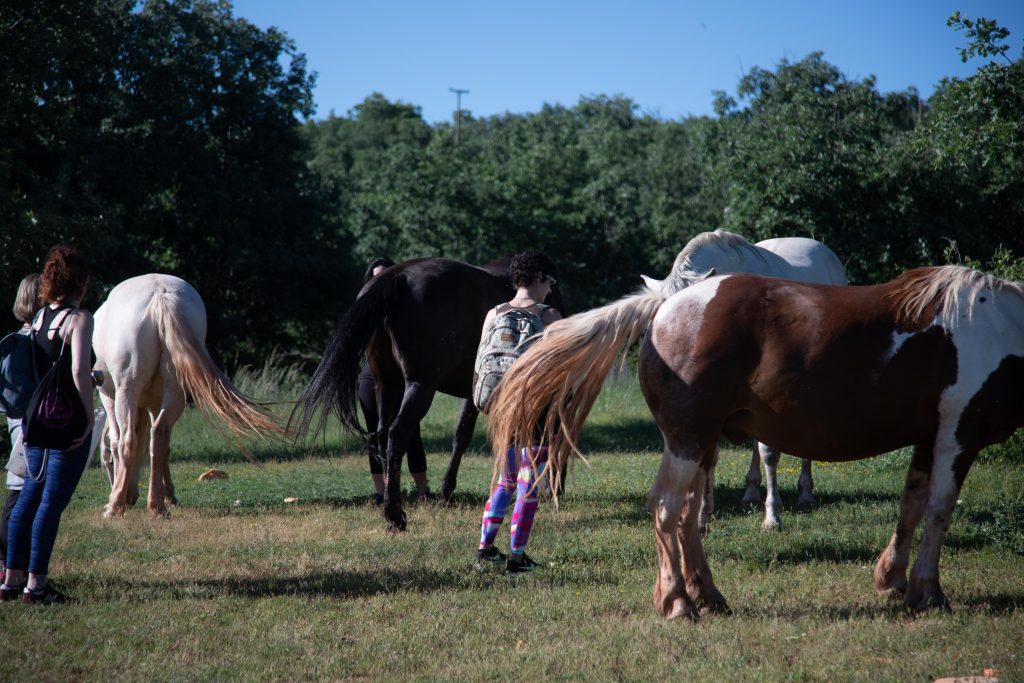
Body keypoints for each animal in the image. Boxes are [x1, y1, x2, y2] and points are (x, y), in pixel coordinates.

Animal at [93, 274, 282, 517]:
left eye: (106, 465)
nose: (127, 498)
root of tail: (160, 294)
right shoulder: (155, 405)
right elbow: (161, 448)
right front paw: (169, 496)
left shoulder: (109, 397)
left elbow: (116, 444)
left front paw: (115, 500)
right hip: (176, 392)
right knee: (159, 435)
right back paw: (157, 507)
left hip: (127, 390)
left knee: (128, 441)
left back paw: (116, 508)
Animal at [289, 257, 566, 530]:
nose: (557, 489)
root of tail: (396, 275)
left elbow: (461, 434)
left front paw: (446, 490)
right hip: (421, 386)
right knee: (397, 433)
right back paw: (395, 515)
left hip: (388, 385)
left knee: (383, 437)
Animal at [490, 229, 848, 530]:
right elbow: (710, 457)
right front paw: (703, 514)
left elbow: (768, 453)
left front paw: (772, 517)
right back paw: (750, 492)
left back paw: (804, 493)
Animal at [496, 265, 1024, 617]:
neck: (1002, 328)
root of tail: (666, 306)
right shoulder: (958, 436)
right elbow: (939, 510)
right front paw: (928, 591)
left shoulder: (929, 439)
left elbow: (911, 506)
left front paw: (893, 579)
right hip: (688, 439)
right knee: (667, 506)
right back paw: (678, 602)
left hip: (700, 442)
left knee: (687, 515)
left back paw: (707, 595)